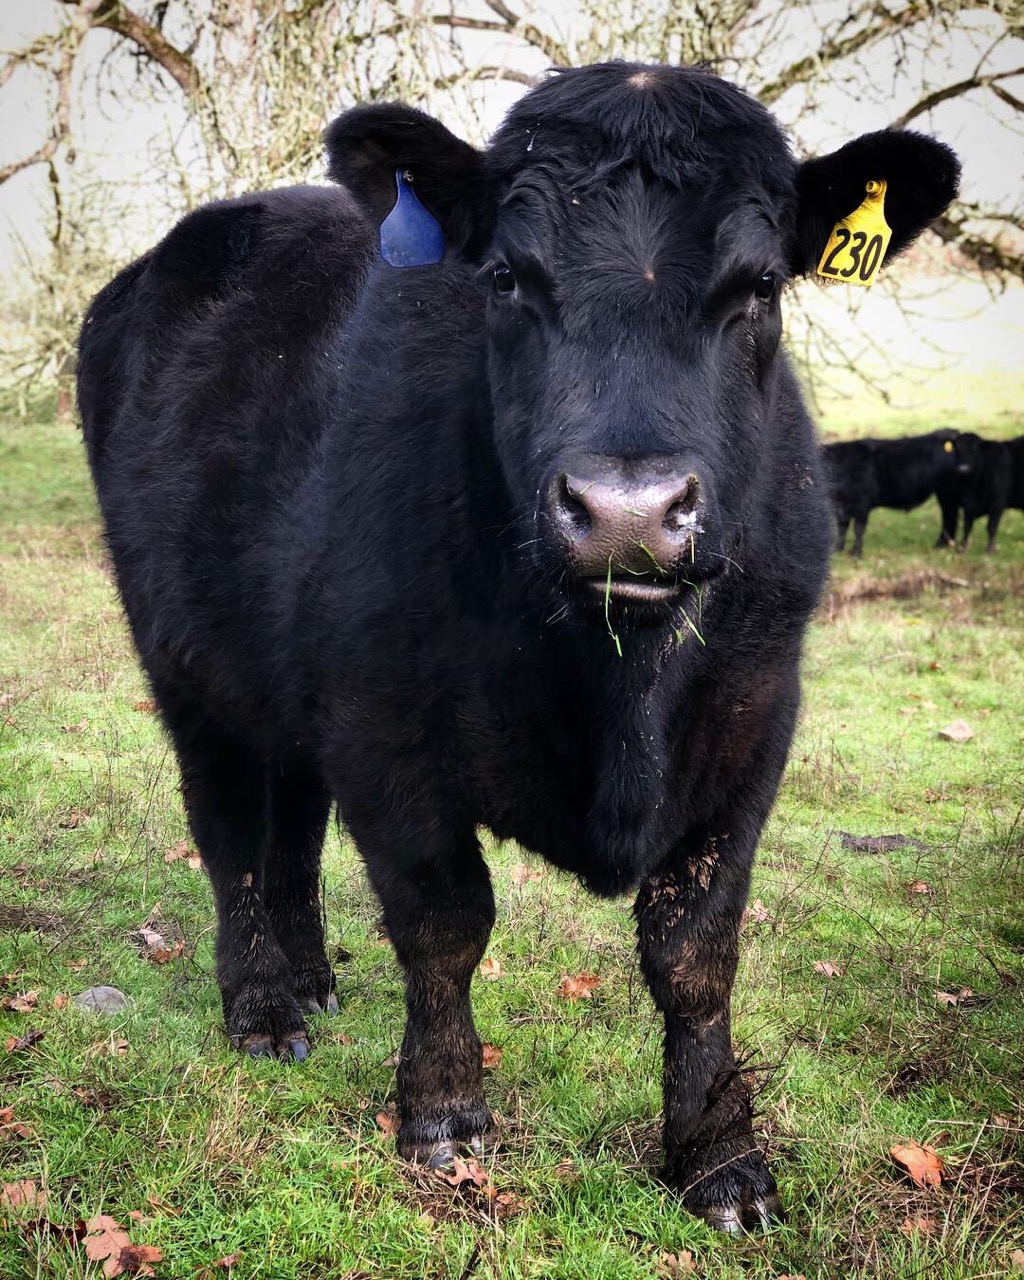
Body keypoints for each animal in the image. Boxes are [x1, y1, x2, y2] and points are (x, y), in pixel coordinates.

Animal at [823, 429, 970, 557]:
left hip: (947, 492)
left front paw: (855, 553)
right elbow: (842, 527)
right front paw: (837, 549)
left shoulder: (862, 504)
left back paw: (942, 544)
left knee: (949, 515)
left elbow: (858, 529)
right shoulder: (841, 506)